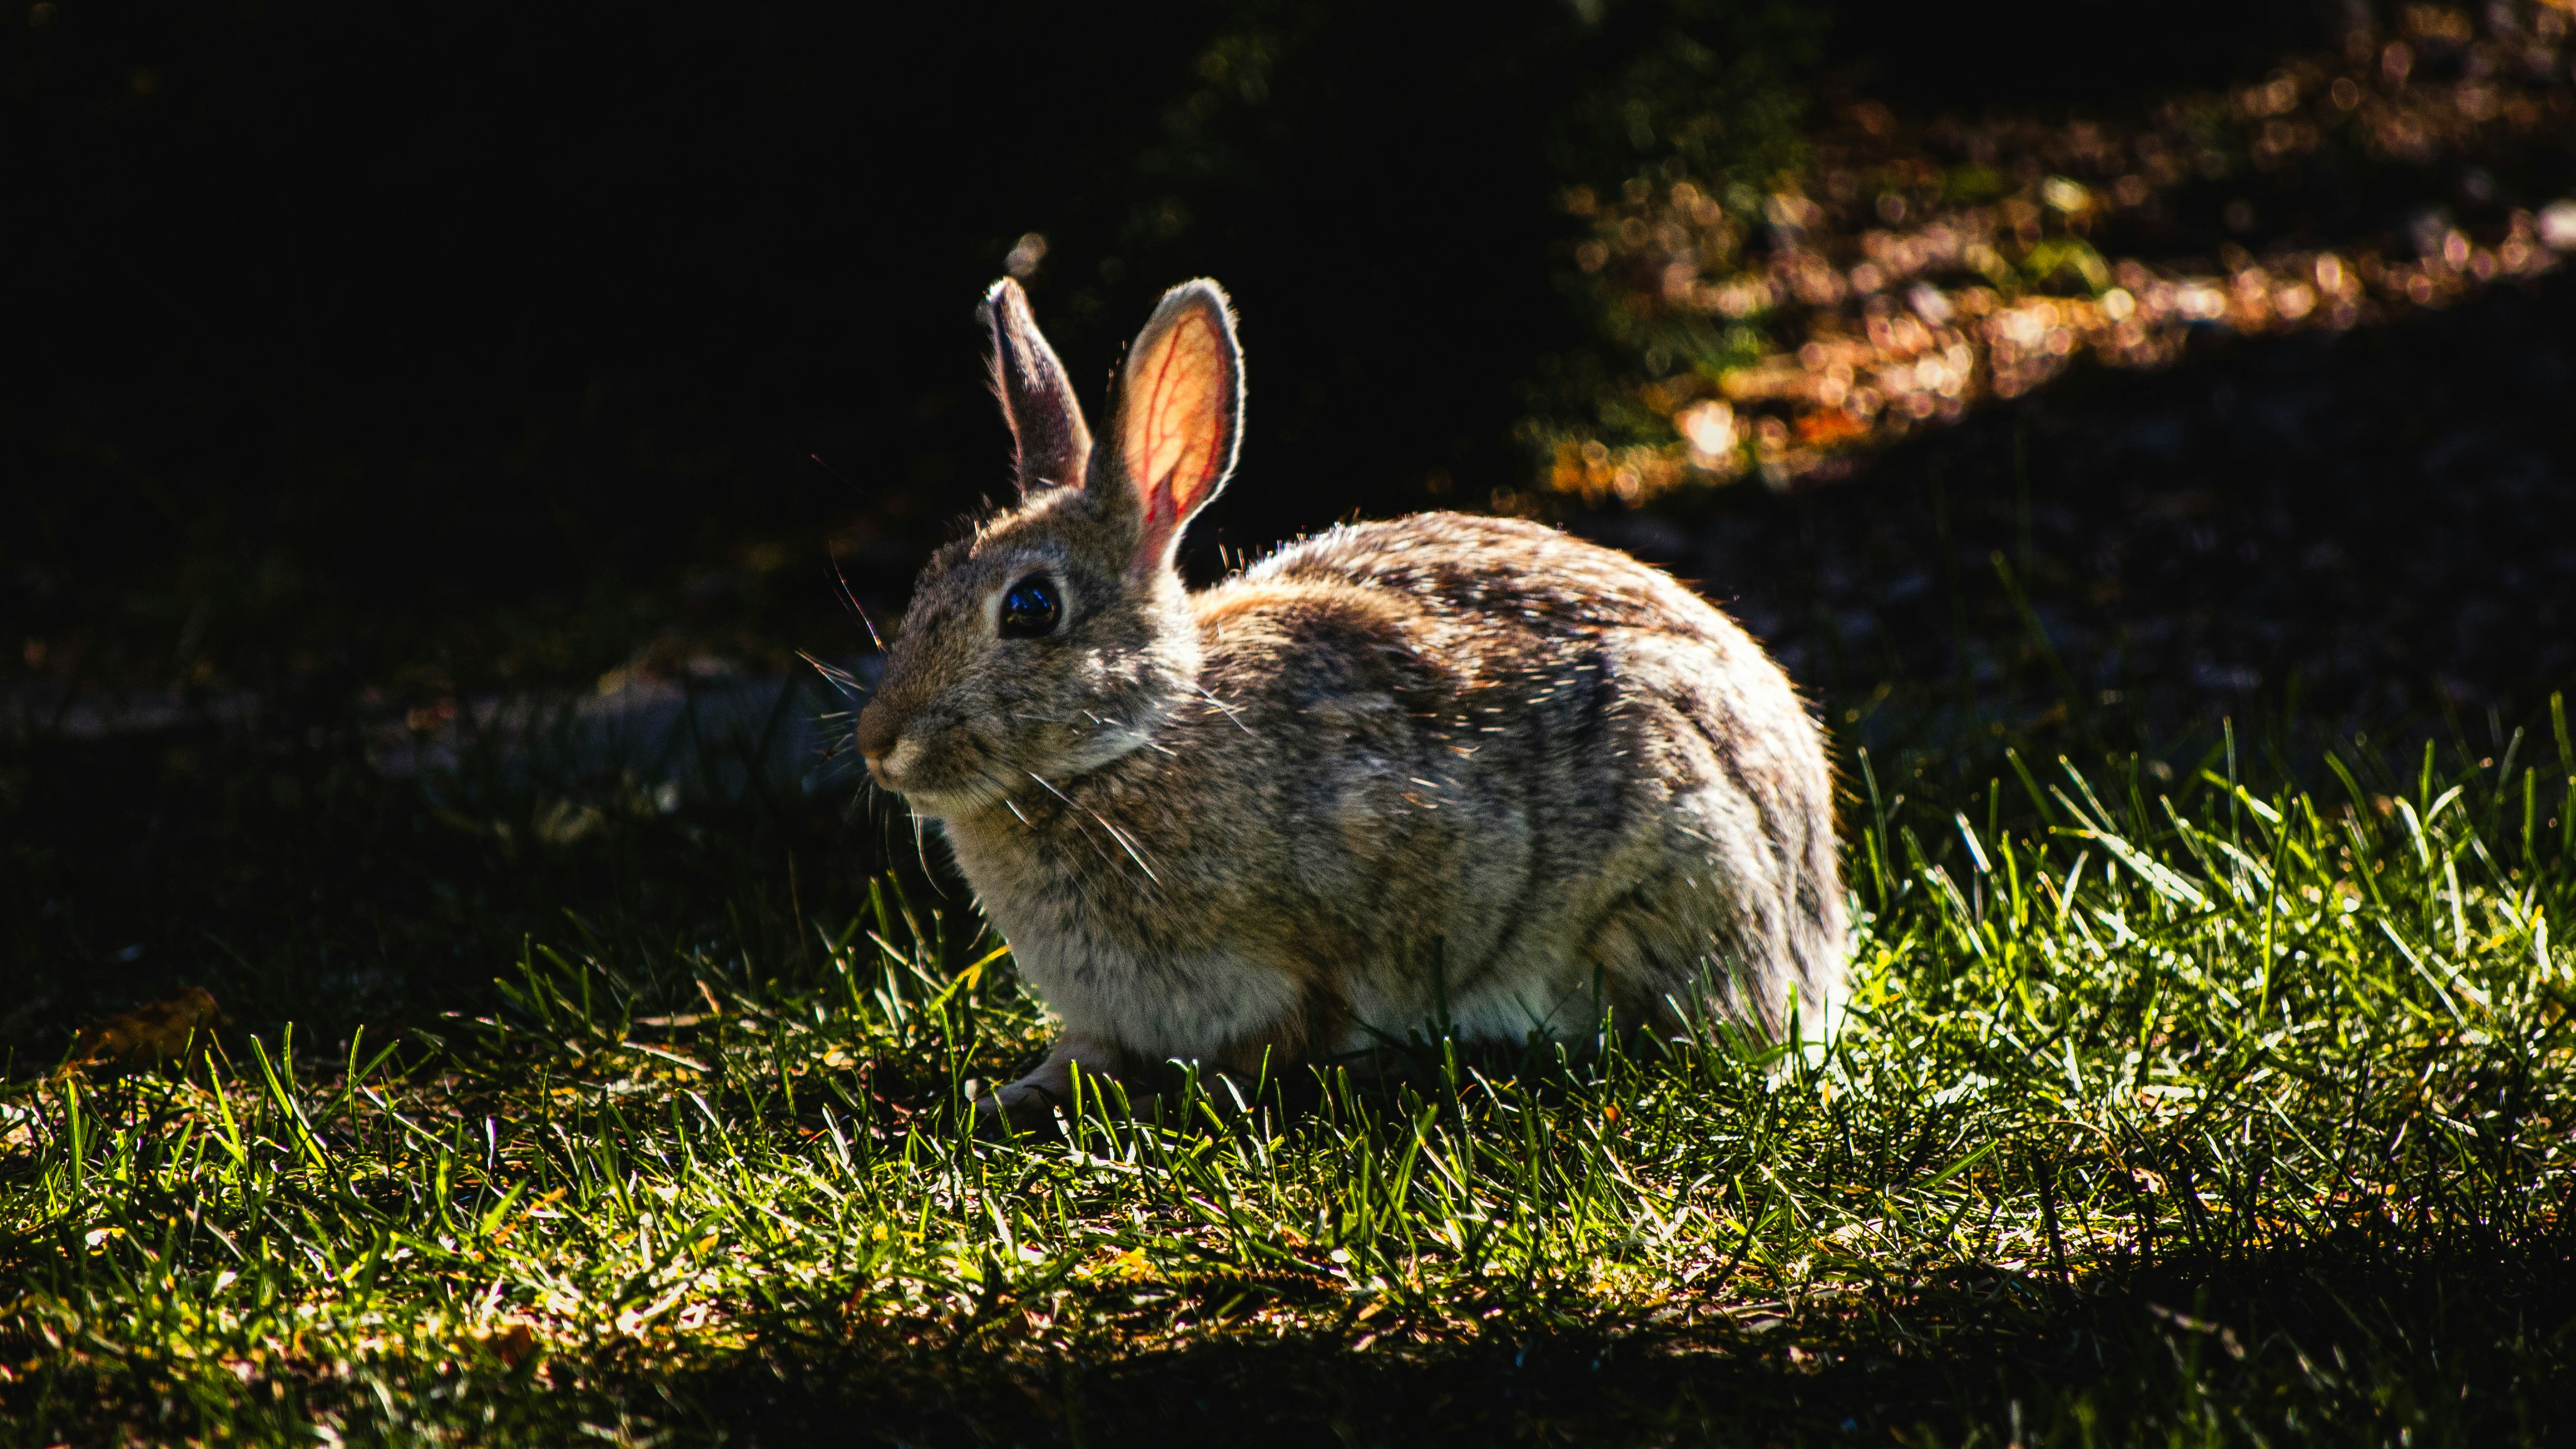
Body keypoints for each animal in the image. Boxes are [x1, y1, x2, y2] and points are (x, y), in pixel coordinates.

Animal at [855, 275, 1845, 1132]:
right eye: (929, 577)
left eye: (1030, 609)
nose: (879, 746)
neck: (1130, 744)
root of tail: (1812, 918)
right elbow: (1081, 1055)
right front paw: (1006, 1096)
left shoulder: (1331, 927)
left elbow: (1284, 1032)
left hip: (1670, 872)